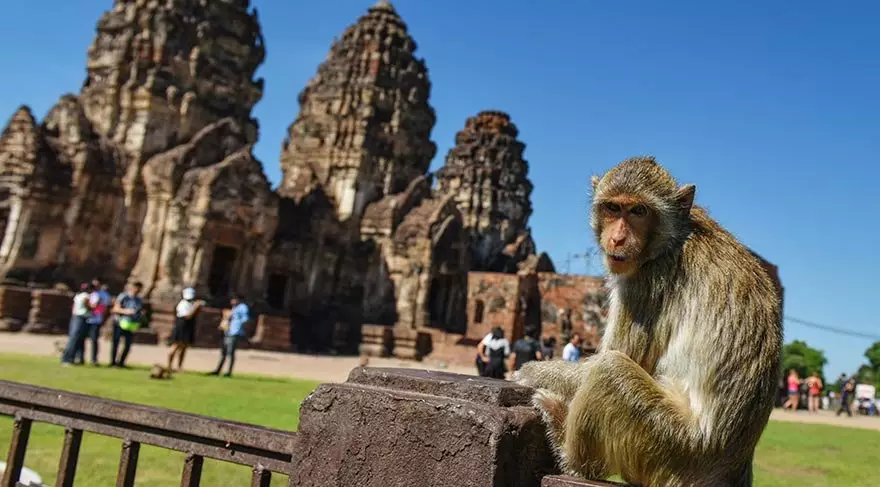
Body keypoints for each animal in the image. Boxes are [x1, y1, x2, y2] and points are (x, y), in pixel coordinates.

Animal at [516, 157, 784, 487]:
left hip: (669, 446)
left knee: (610, 370)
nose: (618, 238)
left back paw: (570, 455)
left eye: (639, 211)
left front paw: (530, 371)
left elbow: (613, 359)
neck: (671, 239)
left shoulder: (646, 282)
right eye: (613, 208)